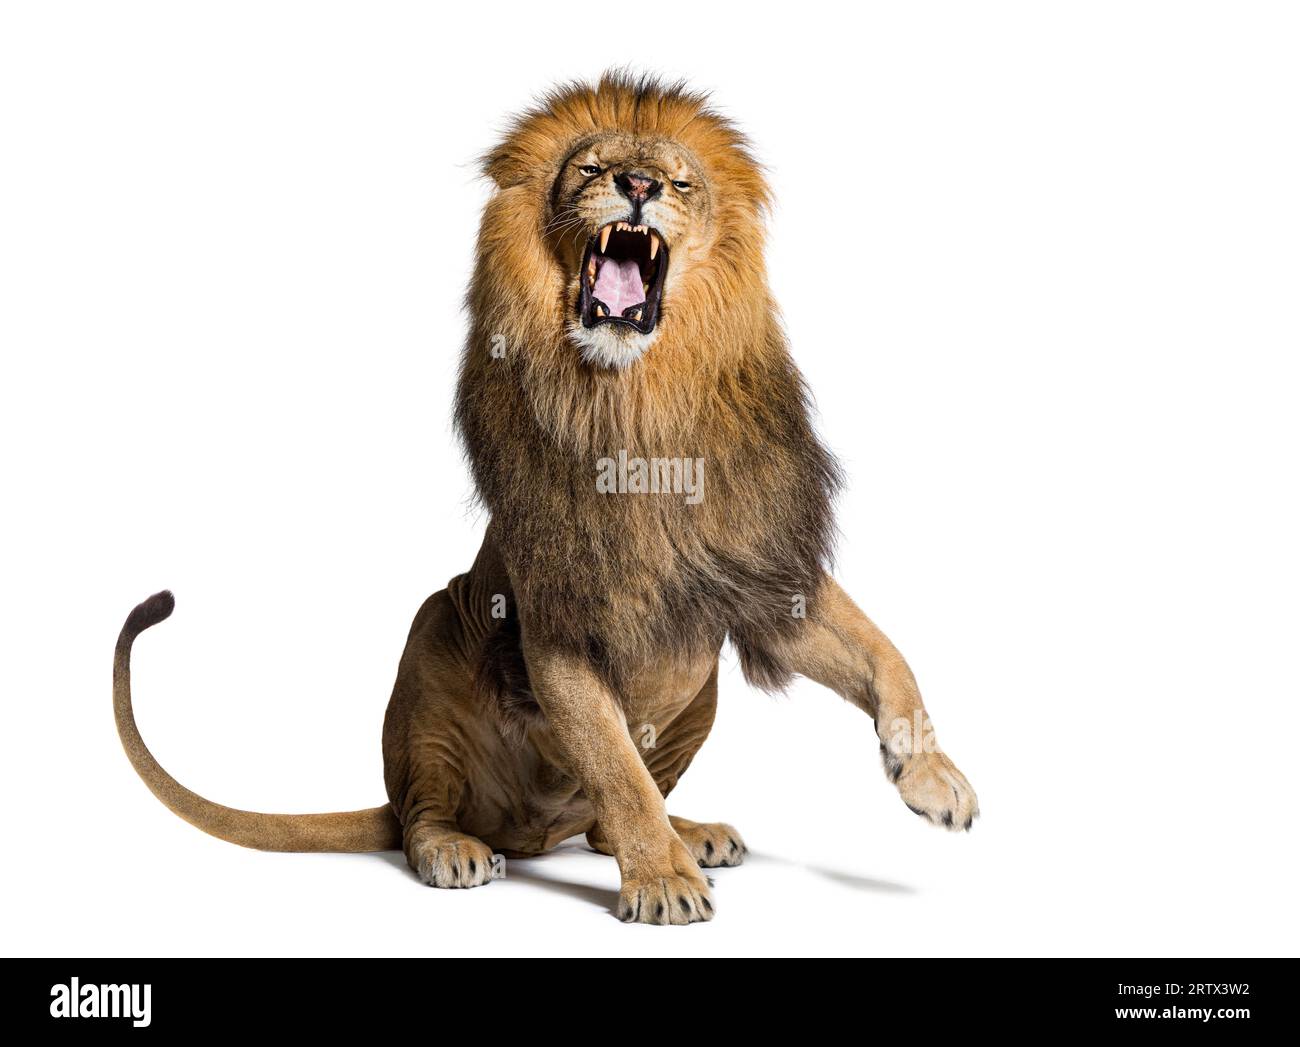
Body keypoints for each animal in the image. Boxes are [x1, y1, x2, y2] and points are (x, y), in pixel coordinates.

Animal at [113, 72, 978, 925]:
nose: (638, 185)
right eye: (592, 169)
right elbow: (615, 763)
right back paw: (458, 848)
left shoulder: (756, 564)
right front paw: (661, 881)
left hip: (700, 690)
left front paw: (933, 775)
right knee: (431, 808)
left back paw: (689, 832)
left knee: (601, 823)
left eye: (680, 182)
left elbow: (883, 652)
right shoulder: (557, 608)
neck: (640, 403)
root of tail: (527, 834)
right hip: (436, 625)